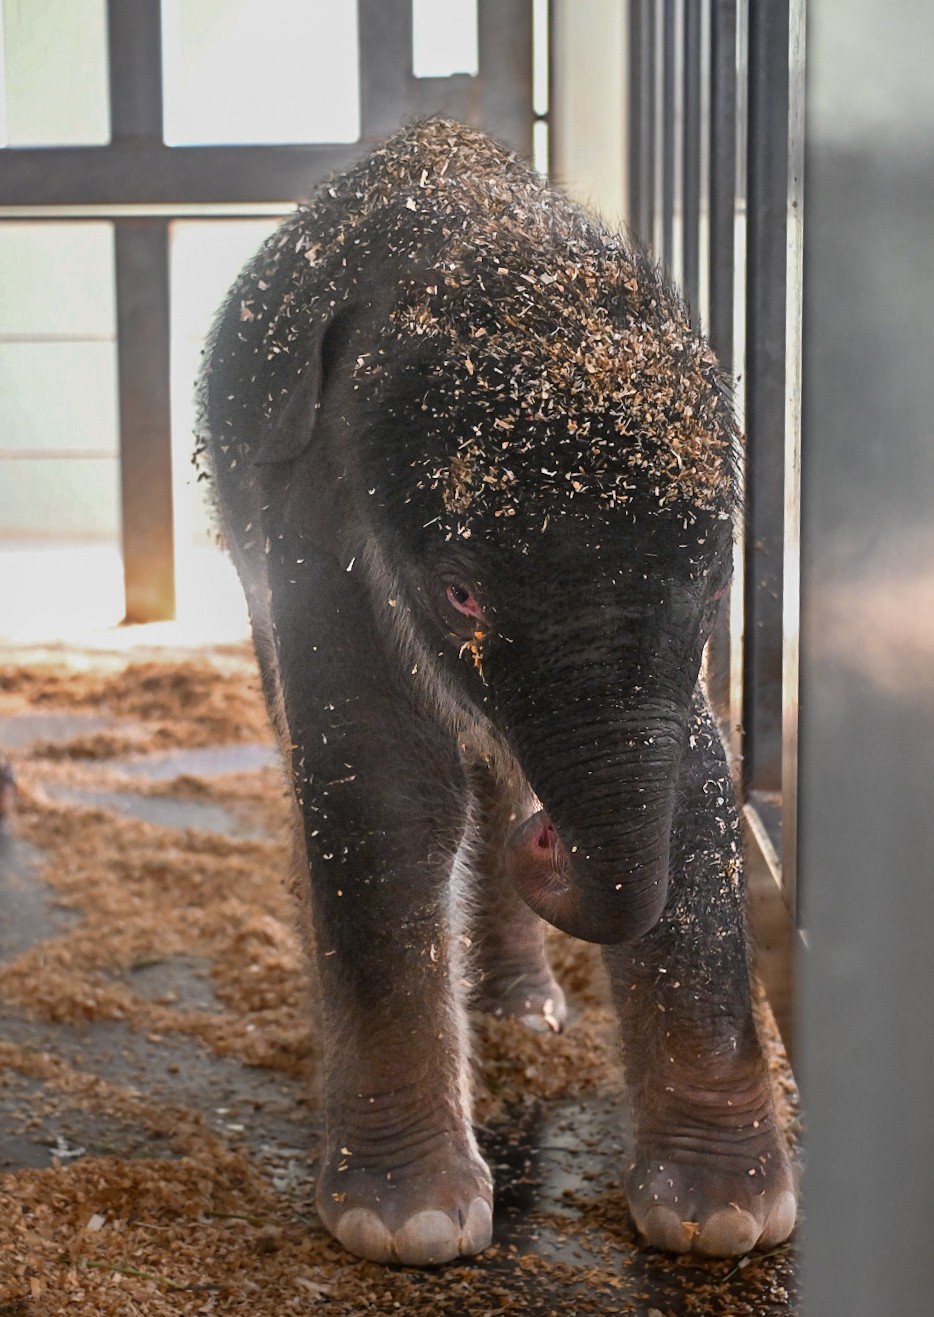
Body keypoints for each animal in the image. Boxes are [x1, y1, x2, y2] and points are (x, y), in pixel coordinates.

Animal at [196, 120, 797, 1266]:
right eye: (460, 592)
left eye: (717, 584)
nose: (546, 841)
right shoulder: (314, 527)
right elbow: (385, 790)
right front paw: (408, 1224)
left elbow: (697, 790)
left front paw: (726, 1217)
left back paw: (523, 1012)